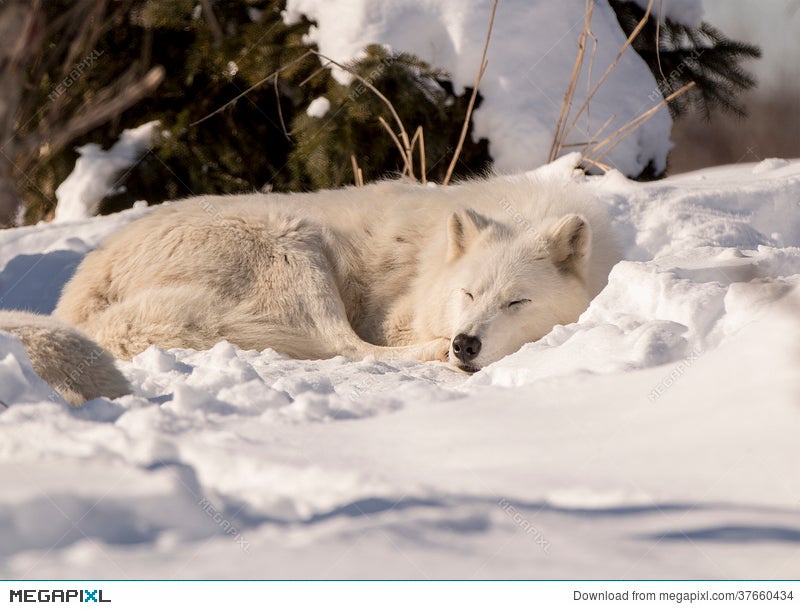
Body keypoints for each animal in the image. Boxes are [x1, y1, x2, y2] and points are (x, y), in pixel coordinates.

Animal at [54, 170, 619, 373]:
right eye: (469, 294)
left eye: (516, 302)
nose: (465, 344)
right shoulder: (395, 321)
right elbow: (377, 342)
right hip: (296, 245)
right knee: (344, 345)